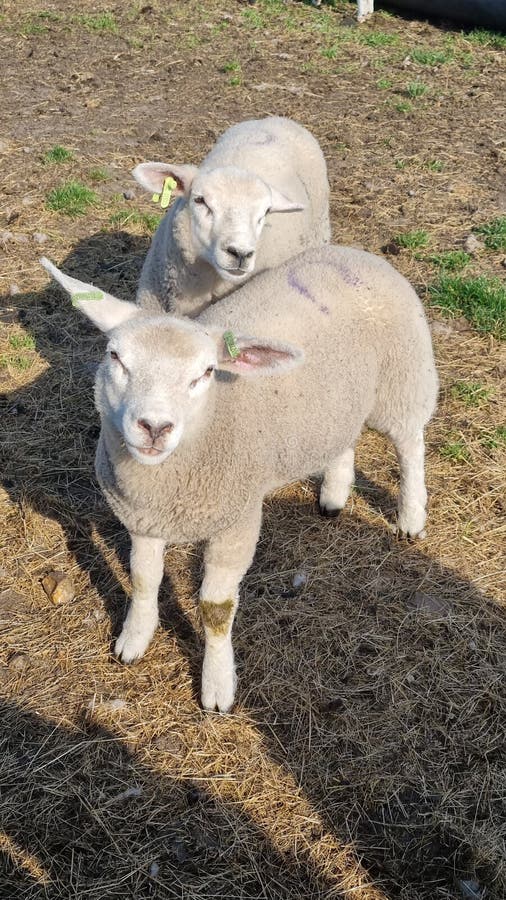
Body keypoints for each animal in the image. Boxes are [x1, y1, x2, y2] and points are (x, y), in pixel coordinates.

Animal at [41, 246, 438, 713]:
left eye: (207, 372)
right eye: (116, 357)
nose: (154, 427)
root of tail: (354, 253)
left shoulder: (237, 522)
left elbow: (215, 610)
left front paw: (217, 687)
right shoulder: (142, 518)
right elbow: (143, 579)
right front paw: (133, 640)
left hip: (403, 381)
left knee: (410, 444)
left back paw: (411, 516)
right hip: (337, 405)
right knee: (343, 440)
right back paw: (334, 495)